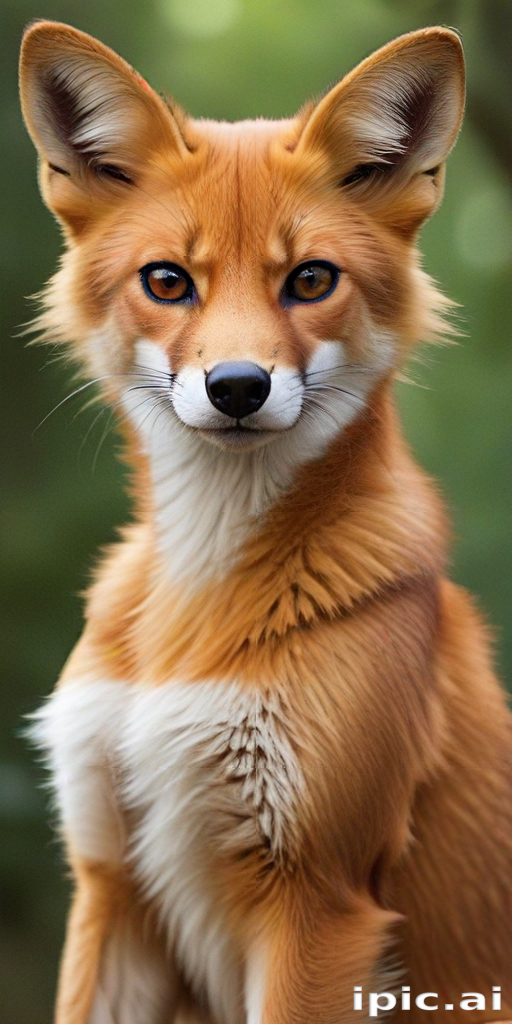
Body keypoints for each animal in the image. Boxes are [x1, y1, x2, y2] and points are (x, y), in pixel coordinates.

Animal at [19, 19, 512, 1024]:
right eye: (168, 281)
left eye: (310, 280)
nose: (238, 387)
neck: (187, 624)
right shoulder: (111, 881)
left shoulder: (318, 903)